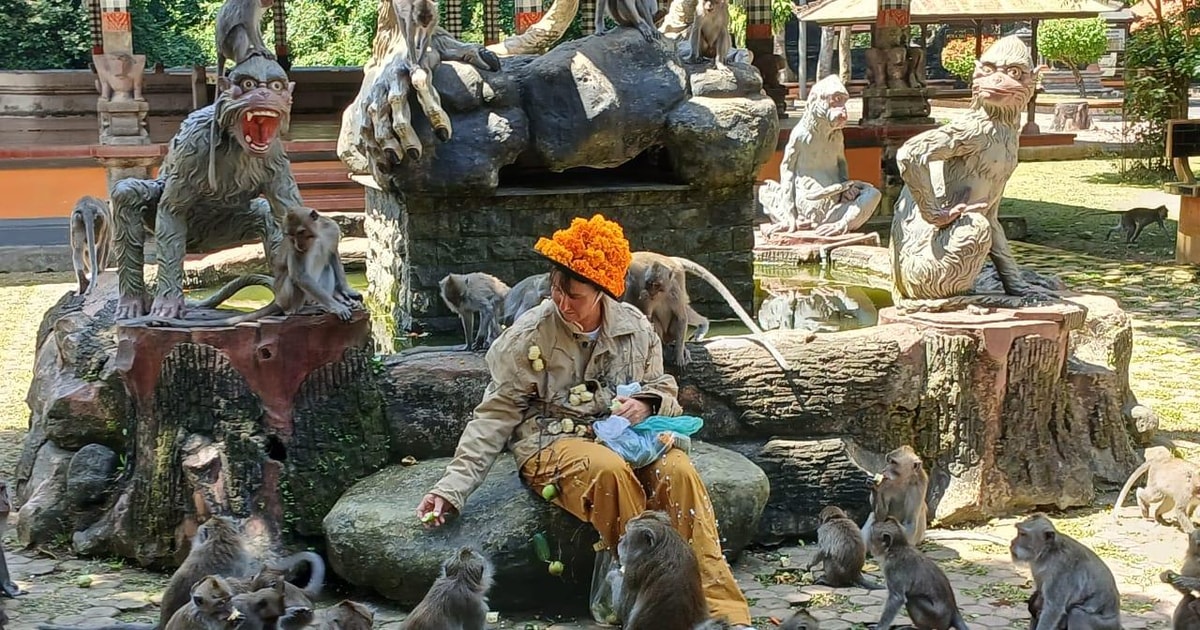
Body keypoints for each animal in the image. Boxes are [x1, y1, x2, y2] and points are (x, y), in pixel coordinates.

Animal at [124, 208, 363, 329]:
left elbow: (333, 256)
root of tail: (278, 299)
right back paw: (302, 309)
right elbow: (299, 274)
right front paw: (336, 306)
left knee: (326, 267)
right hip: (287, 296)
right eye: (290, 235)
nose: (298, 245)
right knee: (291, 282)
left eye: (301, 233)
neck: (317, 237)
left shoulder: (331, 230)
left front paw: (345, 294)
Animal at [622, 252, 790, 371]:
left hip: (678, 280)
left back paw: (698, 328)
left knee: (682, 312)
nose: (651, 290)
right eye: (650, 285)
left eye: (655, 285)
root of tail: (670, 259)